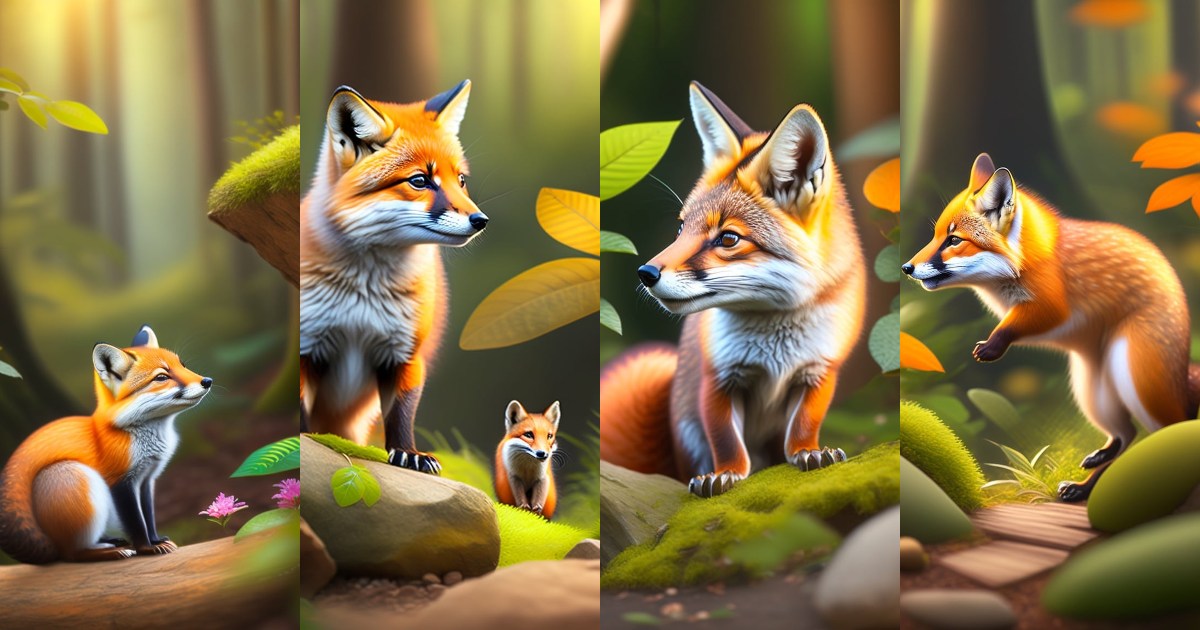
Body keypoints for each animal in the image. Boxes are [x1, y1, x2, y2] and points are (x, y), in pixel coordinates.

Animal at [0, 326, 211, 563]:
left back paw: (112, 542)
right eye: (162, 377)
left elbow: (148, 516)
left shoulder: (147, 479)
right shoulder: (120, 482)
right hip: (84, 481)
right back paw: (112, 551)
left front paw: (155, 540)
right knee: (72, 554)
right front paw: (146, 548)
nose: (207, 381)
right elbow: (136, 522)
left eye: (183, 366)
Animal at [301, 80, 487, 475]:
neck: (364, 292)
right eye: (420, 180)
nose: (481, 220)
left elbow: (401, 412)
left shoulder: (404, 353)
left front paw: (408, 453)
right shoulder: (309, 346)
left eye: (461, 180)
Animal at [601, 82, 865, 498]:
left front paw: (808, 453)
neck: (776, 341)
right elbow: (725, 439)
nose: (645, 273)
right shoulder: (718, 378)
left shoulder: (820, 371)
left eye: (727, 238)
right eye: (681, 228)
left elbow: (804, 424)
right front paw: (724, 475)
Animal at [903, 153, 1198, 501]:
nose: (906, 267)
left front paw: (992, 346)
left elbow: (1012, 325)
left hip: (1137, 383)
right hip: (1092, 392)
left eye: (953, 240)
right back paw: (1086, 482)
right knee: (1126, 436)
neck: (1028, 260)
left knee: (1166, 433)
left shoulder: (1054, 307)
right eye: (935, 236)